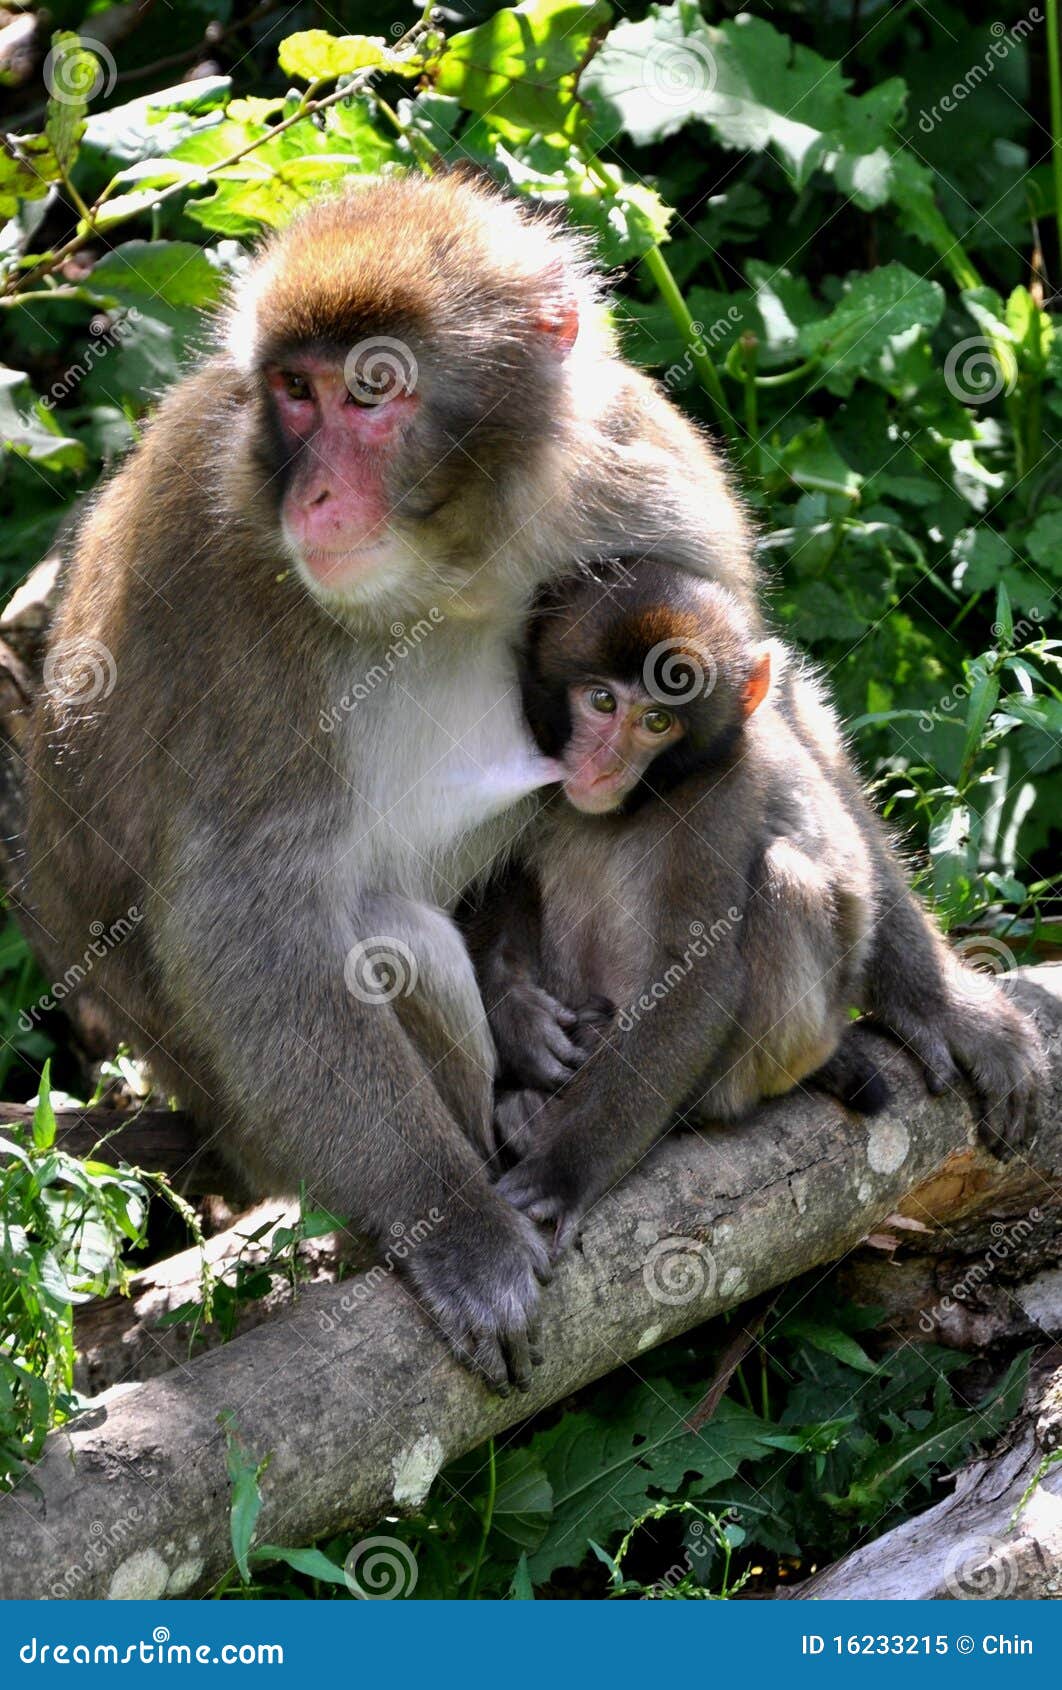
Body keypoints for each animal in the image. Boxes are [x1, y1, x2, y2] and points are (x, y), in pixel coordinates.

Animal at [465, 559, 889, 1247]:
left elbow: (695, 974)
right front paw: (518, 1017)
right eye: (602, 701)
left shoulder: (720, 797)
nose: (603, 765)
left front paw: (565, 1170)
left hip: (792, 1047)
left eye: (657, 722)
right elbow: (498, 880)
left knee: (780, 882)